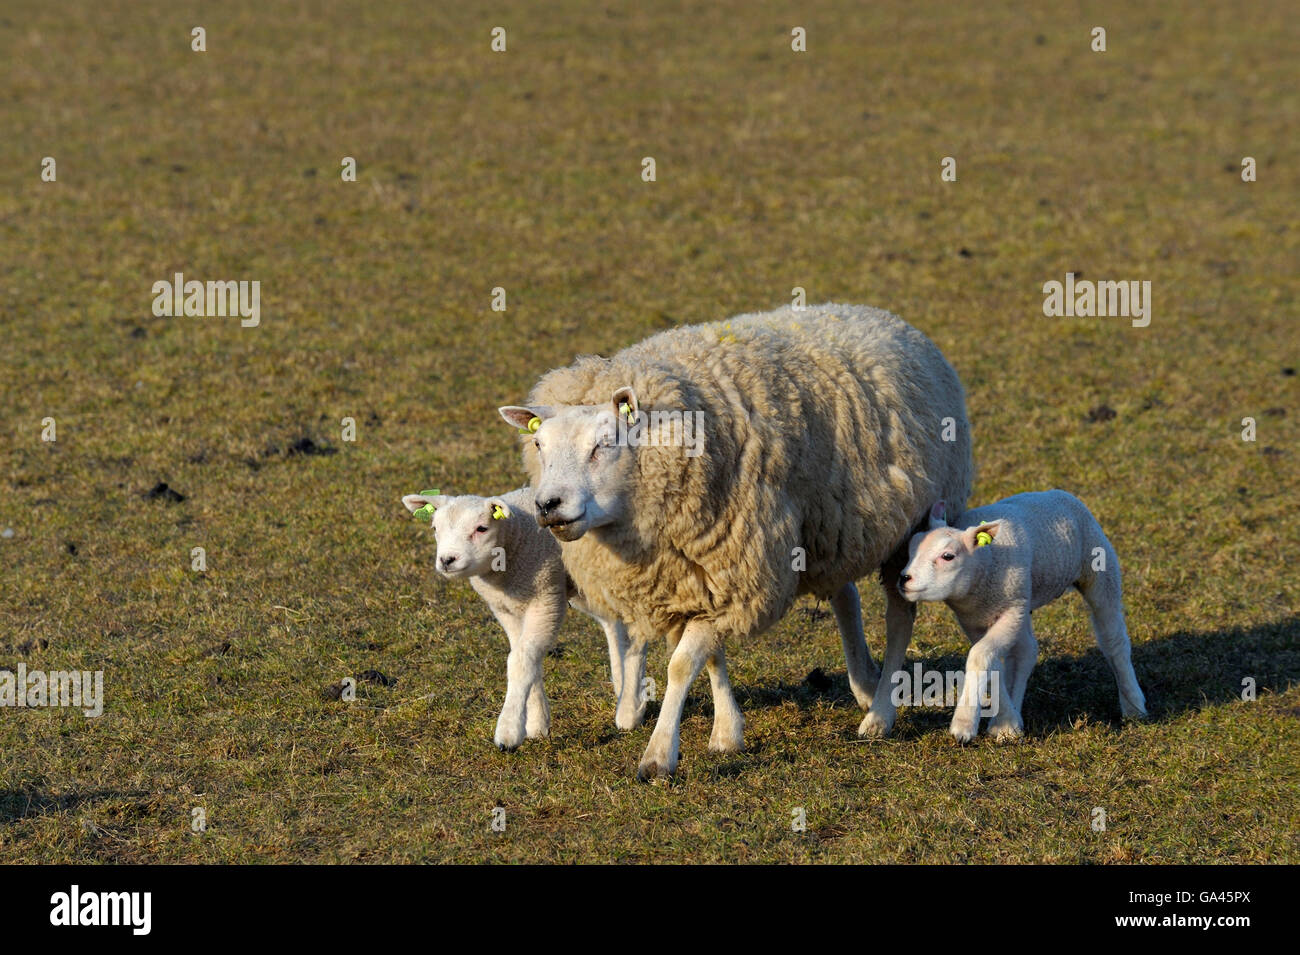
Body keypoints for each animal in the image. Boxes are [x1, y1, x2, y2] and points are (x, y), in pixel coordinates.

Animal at [401, 486, 650, 749]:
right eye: (434, 528)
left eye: (482, 528)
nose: (447, 560)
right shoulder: (506, 610)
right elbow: (528, 658)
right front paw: (537, 723)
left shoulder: (546, 598)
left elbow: (519, 661)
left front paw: (508, 732)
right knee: (614, 626)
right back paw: (623, 689)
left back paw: (631, 711)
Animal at [498, 303, 973, 778]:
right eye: (538, 445)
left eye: (605, 443)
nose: (548, 505)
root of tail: (882, 317)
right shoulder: (694, 578)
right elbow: (710, 656)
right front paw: (727, 734)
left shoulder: (734, 570)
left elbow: (681, 665)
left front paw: (658, 755)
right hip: (831, 526)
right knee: (845, 594)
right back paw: (863, 684)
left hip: (915, 523)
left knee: (899, 619)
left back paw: (880, 714)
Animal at [897, 491, 1148, 742]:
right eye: (910, 549)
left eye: (948, 556)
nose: (904, 579)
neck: (984, 564)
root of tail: (1057, 492)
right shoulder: (974, 619)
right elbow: (992, 663)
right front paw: (1007, 723)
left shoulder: (1010, 611)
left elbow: (979, 656)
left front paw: (964, 724)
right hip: (1025, 596)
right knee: (1025, 652)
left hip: (1098, 571)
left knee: (1113, 641)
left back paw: (1134, 705)